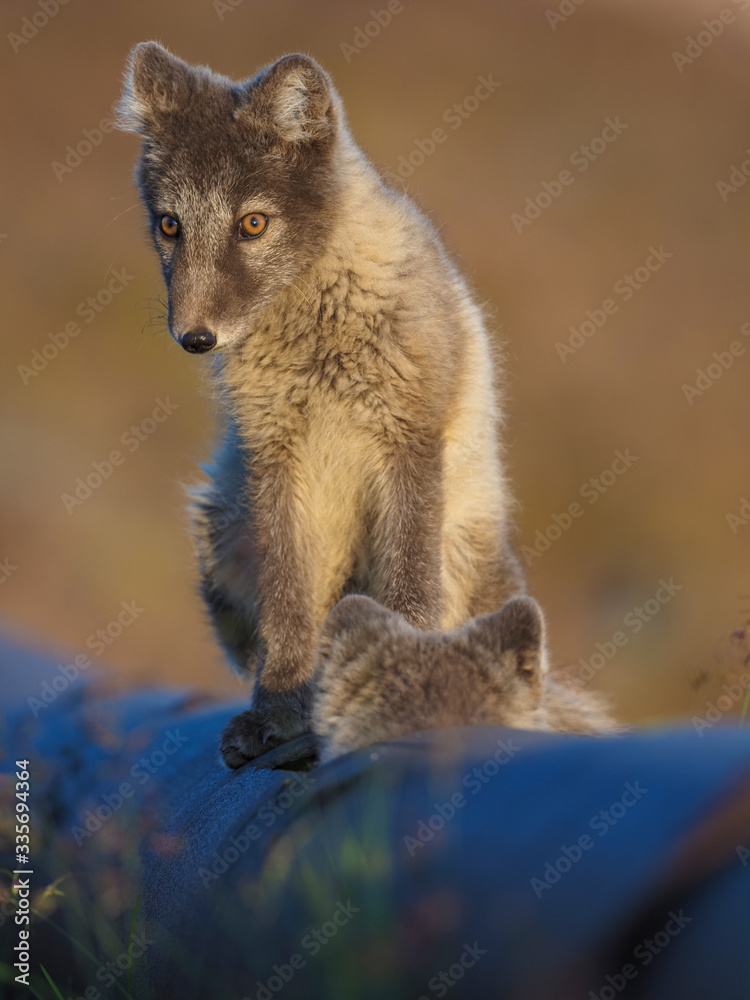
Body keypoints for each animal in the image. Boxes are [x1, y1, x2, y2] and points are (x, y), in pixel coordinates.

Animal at [118, 43, 525, 767]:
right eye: (170, 225)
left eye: (252, 223)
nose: (194, 337)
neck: (316, 335)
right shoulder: (274, 457)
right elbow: (287, 604)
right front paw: (279, 707)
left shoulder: (409, 441)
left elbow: (408, 585)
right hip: (222, 526)